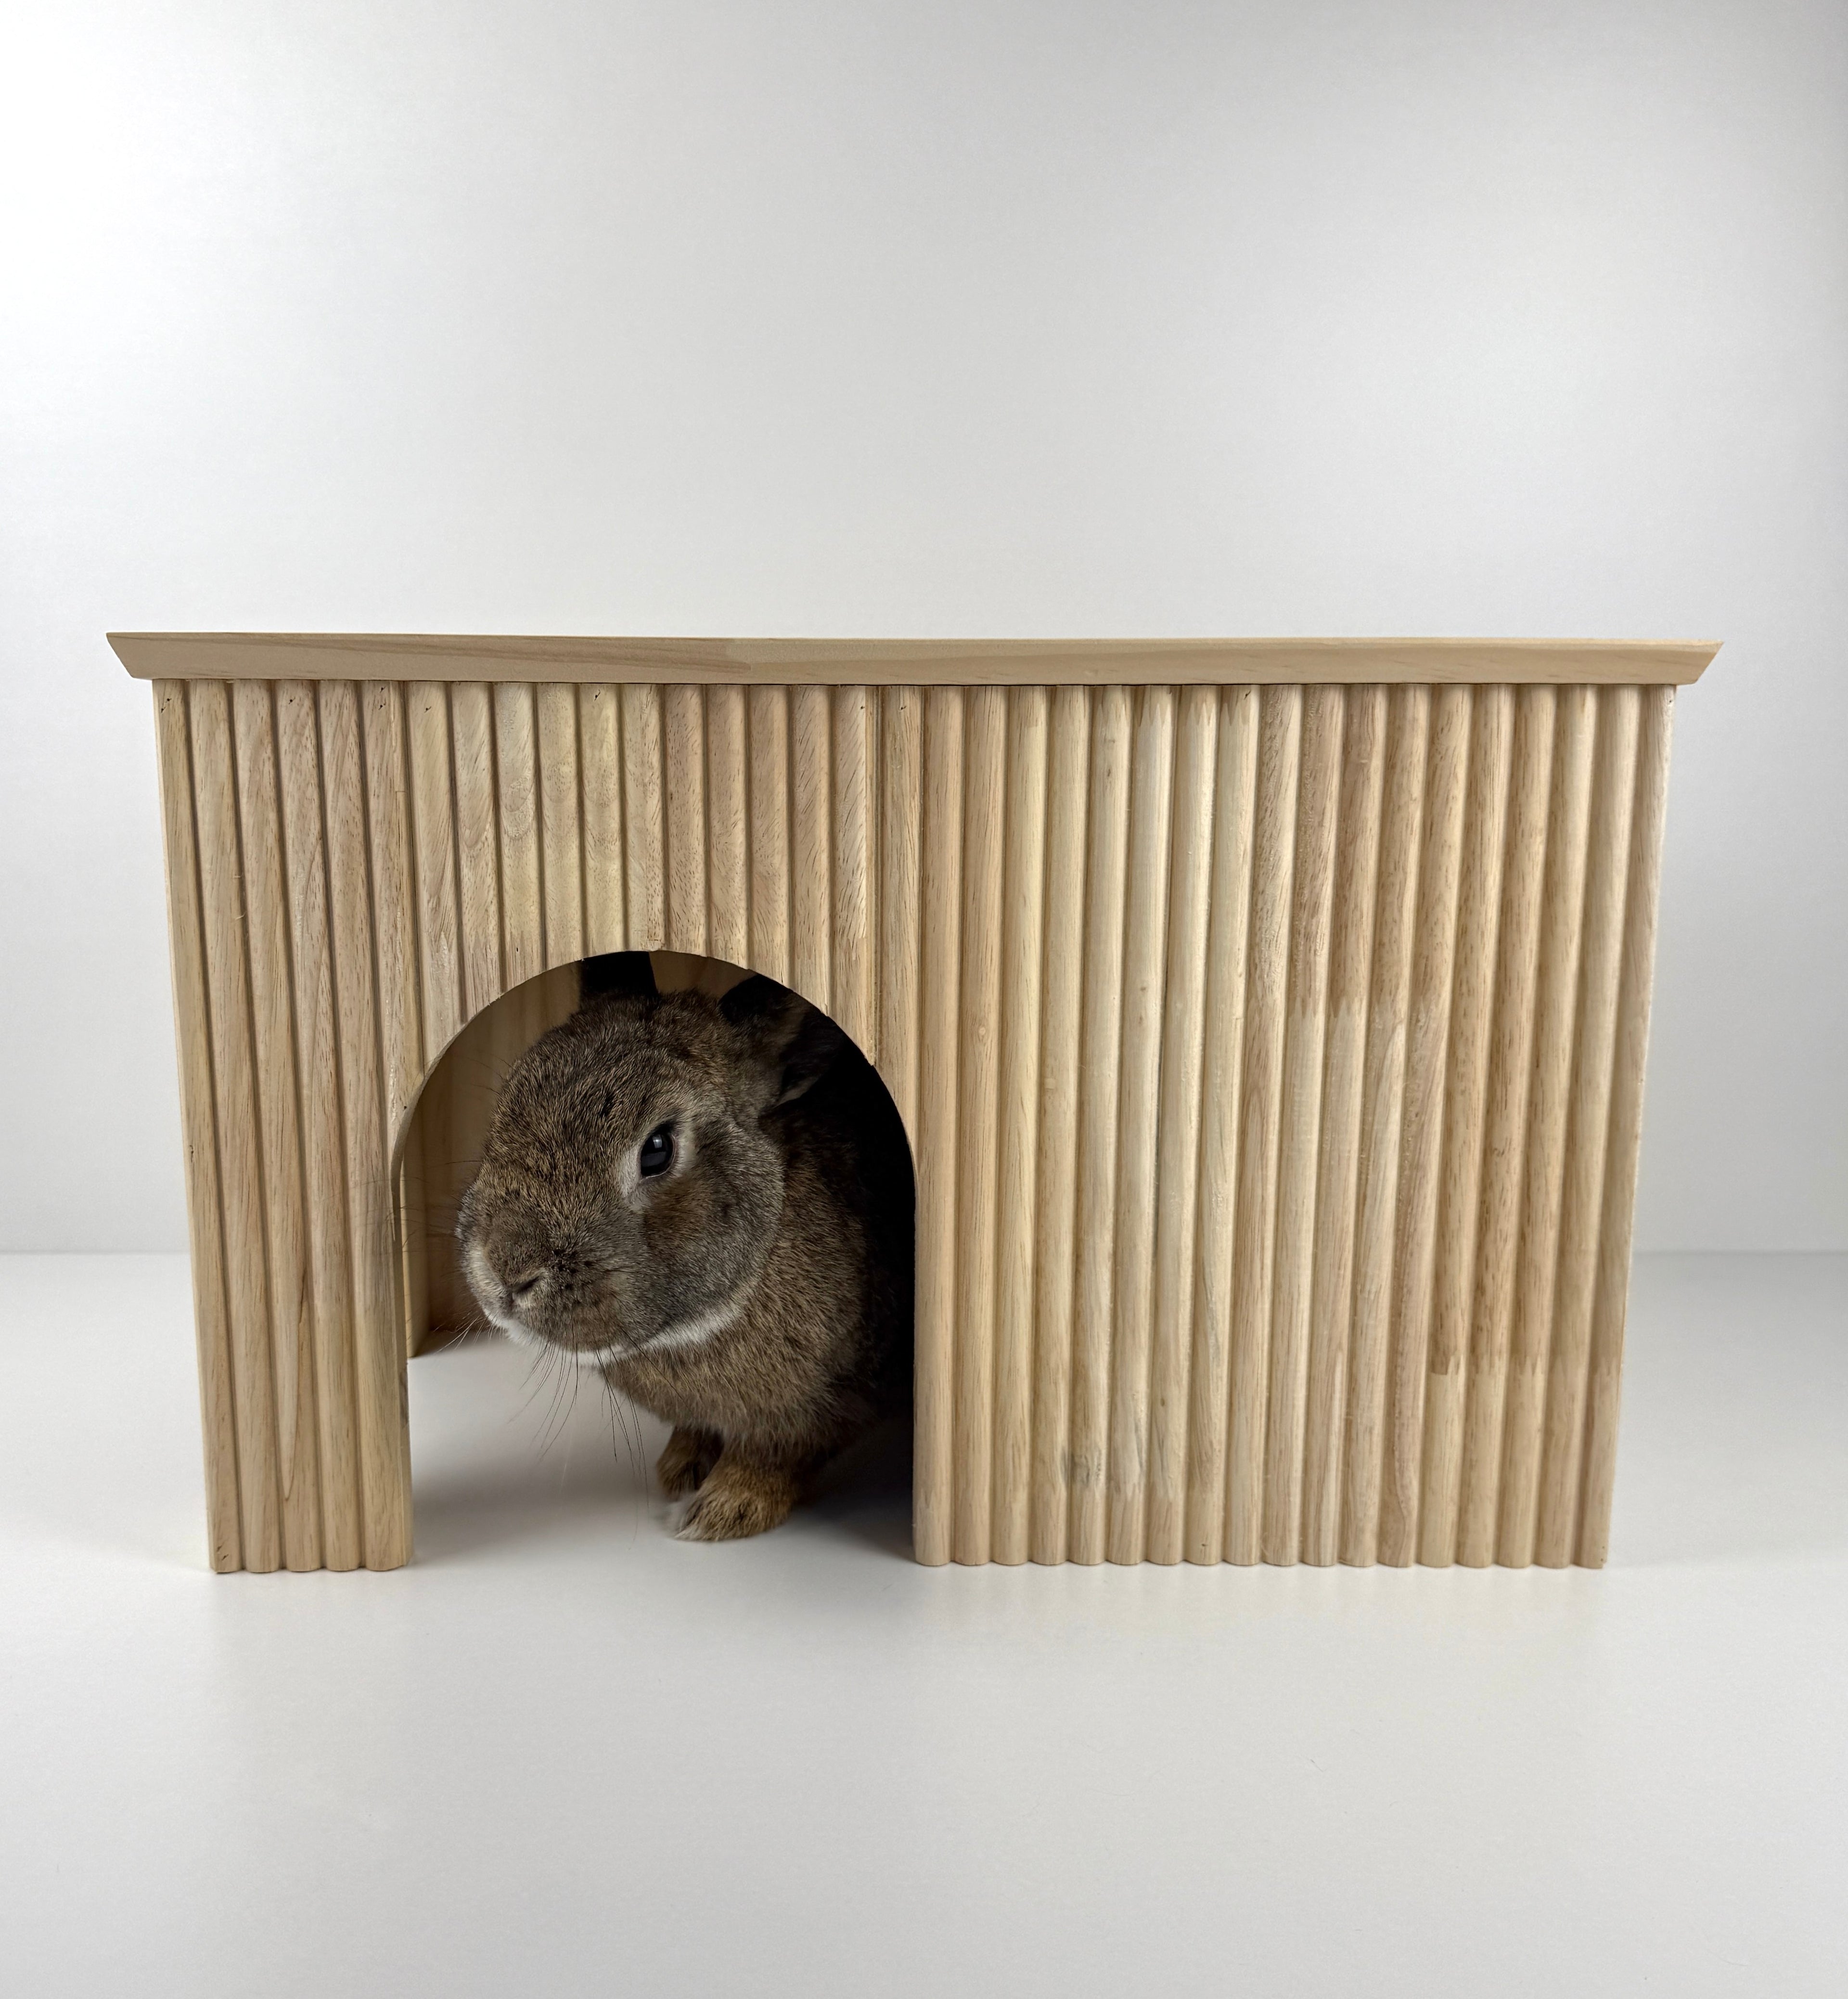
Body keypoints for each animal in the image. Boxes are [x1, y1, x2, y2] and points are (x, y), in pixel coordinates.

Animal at [456, 953, 914, 1542]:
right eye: (511, 1096)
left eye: (657, 1149)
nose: (506, 1270)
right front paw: (680, 1470)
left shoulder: (822, 1406)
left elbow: (772, 1457)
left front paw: (721, 1510)